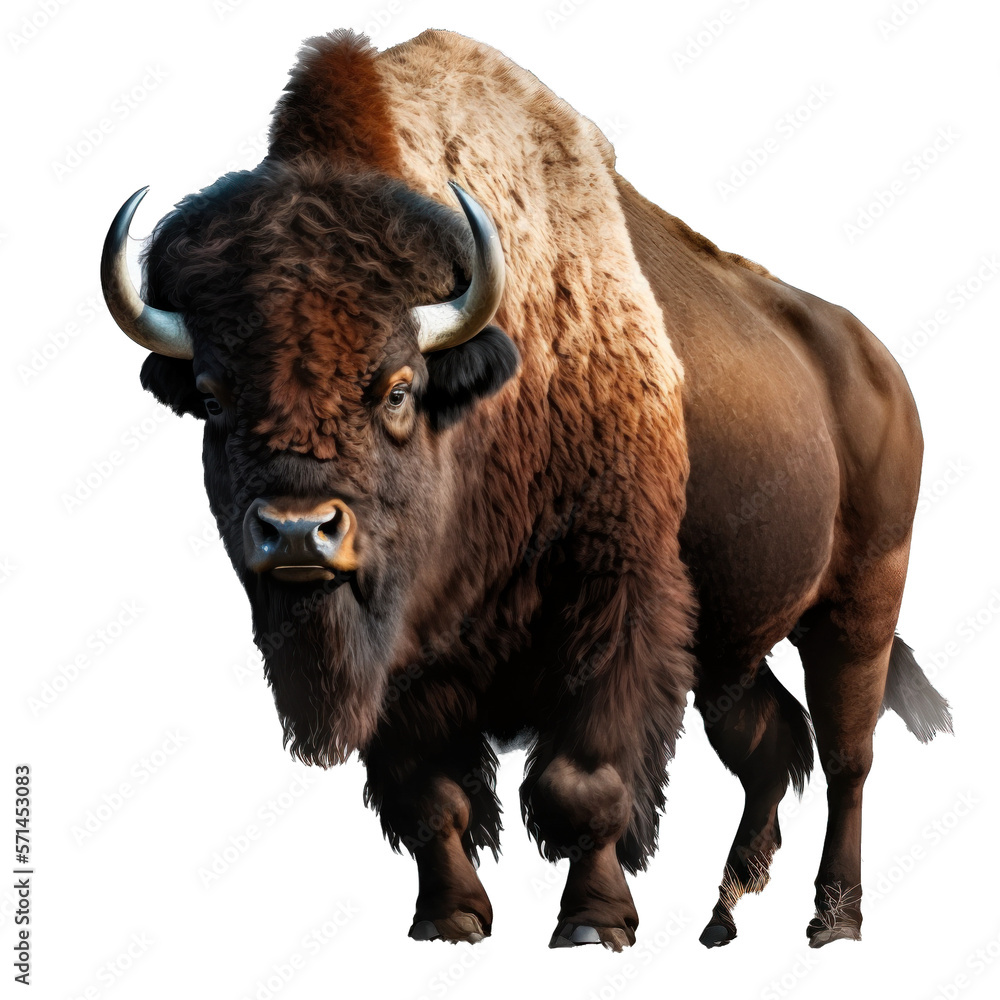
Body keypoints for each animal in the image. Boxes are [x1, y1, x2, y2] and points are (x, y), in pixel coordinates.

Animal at [101, 29, 951, 950]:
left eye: (398, 388)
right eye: (213, 397)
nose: (297, 533)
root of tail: (880, 367)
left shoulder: (614, 599)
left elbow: (586, 779)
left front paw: (592, 924)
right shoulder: (405, 654)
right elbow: (430, 794)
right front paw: (450, 919)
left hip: (860, 601)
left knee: (847, 754)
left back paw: (834, 920)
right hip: (733, 647)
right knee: (771, 741)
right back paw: (722, 916)